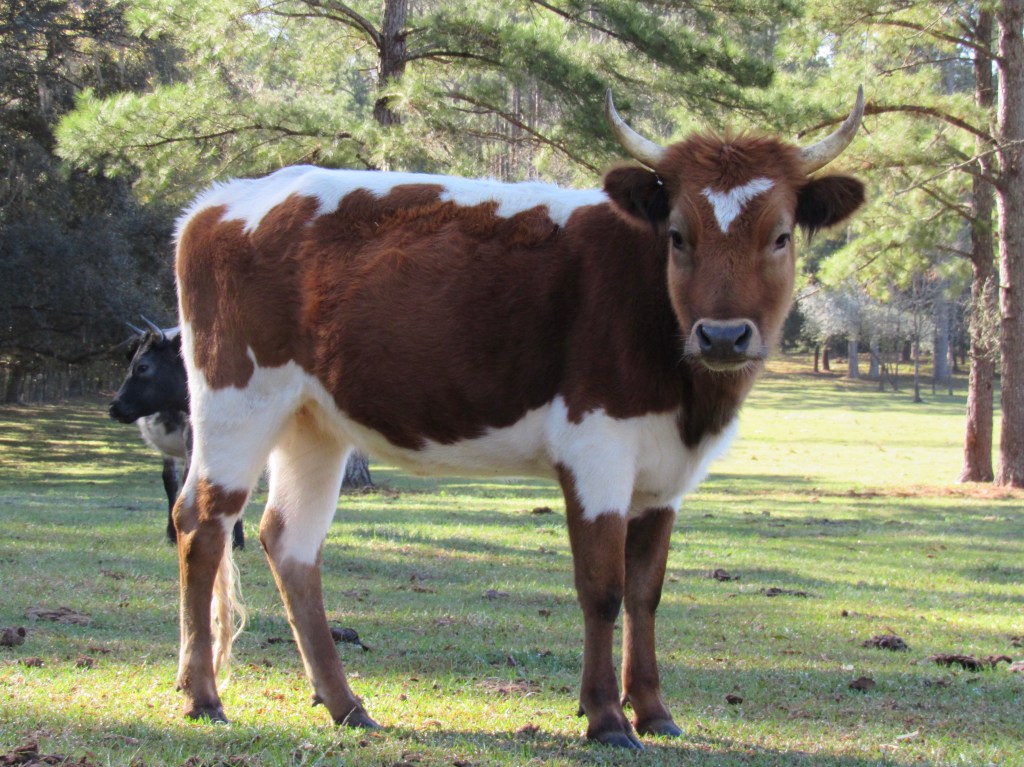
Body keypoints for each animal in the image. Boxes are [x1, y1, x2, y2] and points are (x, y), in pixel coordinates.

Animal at [170, 89, 865, 748]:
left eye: (780, 235)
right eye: (677, 235)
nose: (723, 336)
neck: (691, 402)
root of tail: (219, 202)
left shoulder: (665, 476)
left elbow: (647, 592)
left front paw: (655, 712)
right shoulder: (597, 448)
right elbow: (603, 588)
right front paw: (606, 718)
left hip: (313, 422)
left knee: (289, 541)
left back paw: (346, 706)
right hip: (237, 400)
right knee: (202, 524)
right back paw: (203, 696)